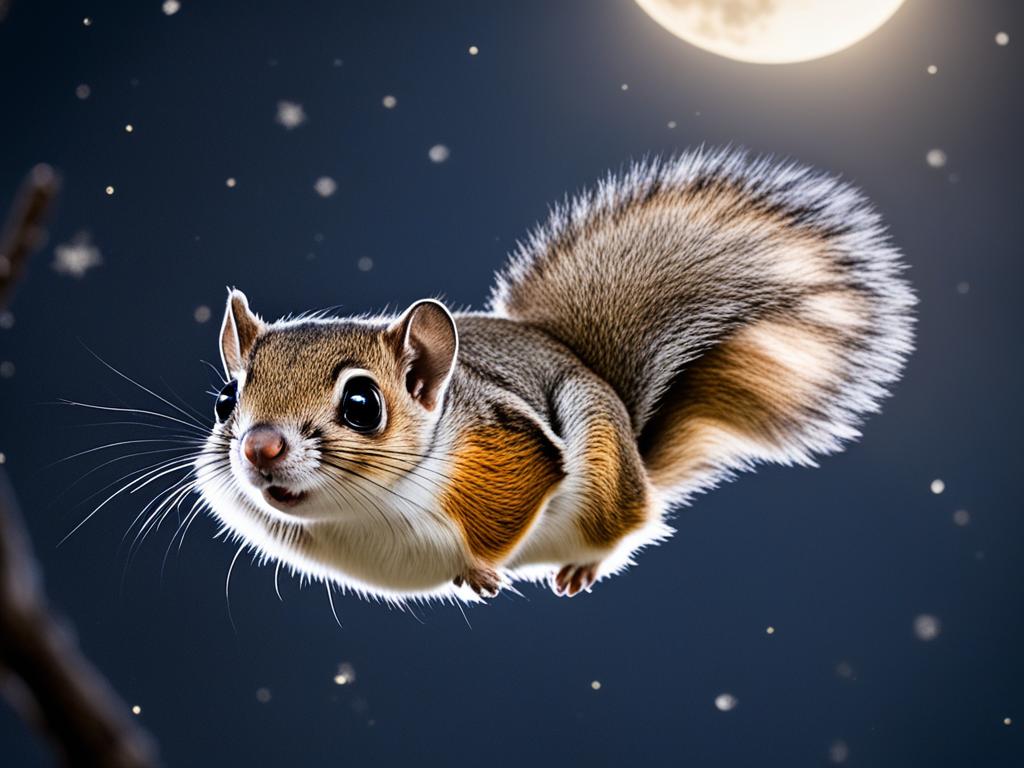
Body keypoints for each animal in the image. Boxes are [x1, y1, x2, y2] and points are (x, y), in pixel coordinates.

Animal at [197, 149, 914, 602]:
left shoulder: (501, 451)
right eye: (228, 398)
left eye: (363, 405)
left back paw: (583, 565)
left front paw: (480, 569)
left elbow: (513, 501)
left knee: (630, 522)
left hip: (603, 475)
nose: (261, 448)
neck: (360, 511)